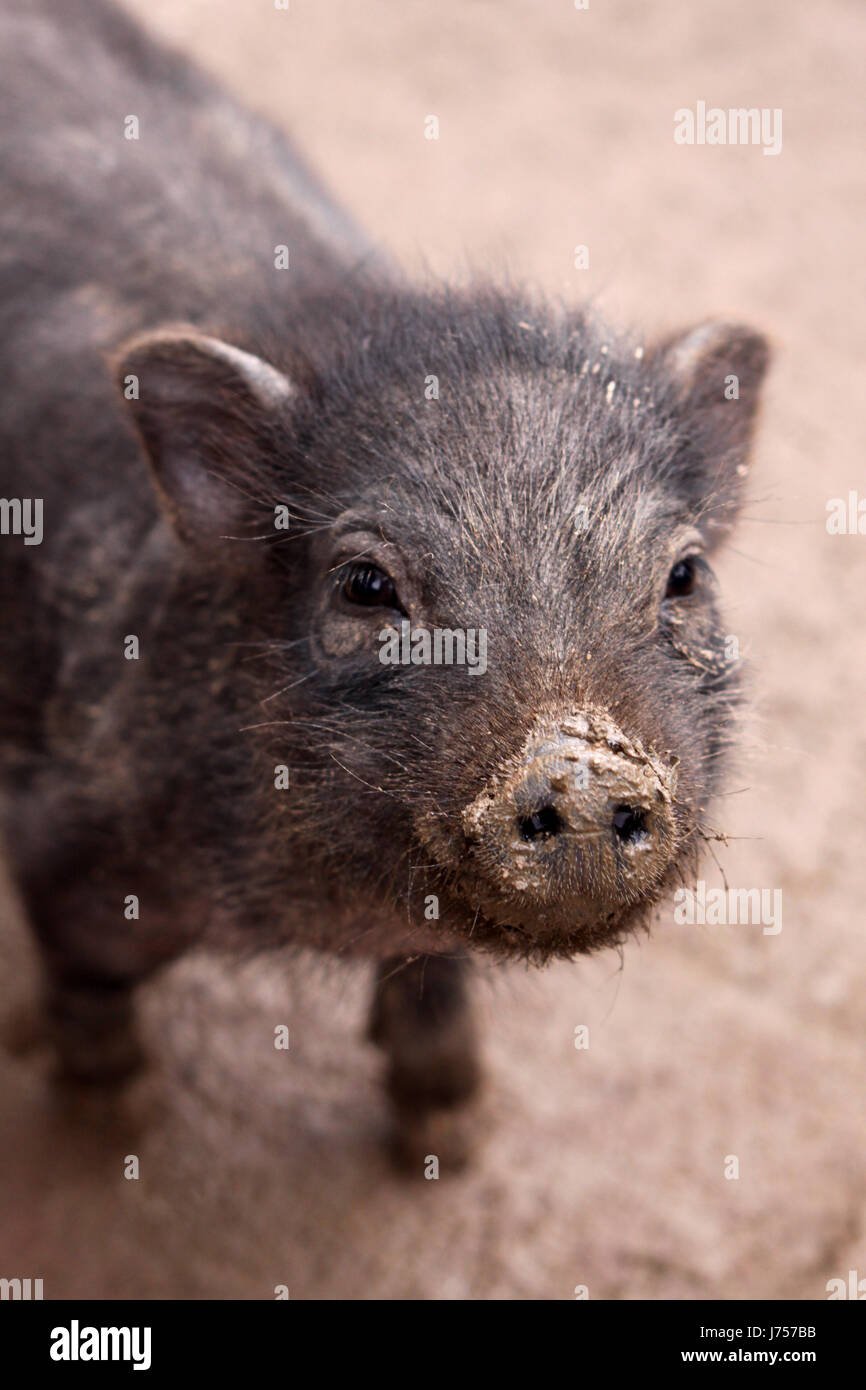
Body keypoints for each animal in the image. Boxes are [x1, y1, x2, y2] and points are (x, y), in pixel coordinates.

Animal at [0, 0, 769, 1166]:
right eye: (365, 586)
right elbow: (90, 985)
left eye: (683, 573)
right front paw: (107, 1122)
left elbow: (432, 977)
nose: (582, 761)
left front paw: (444, 1141)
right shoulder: (64, 840)